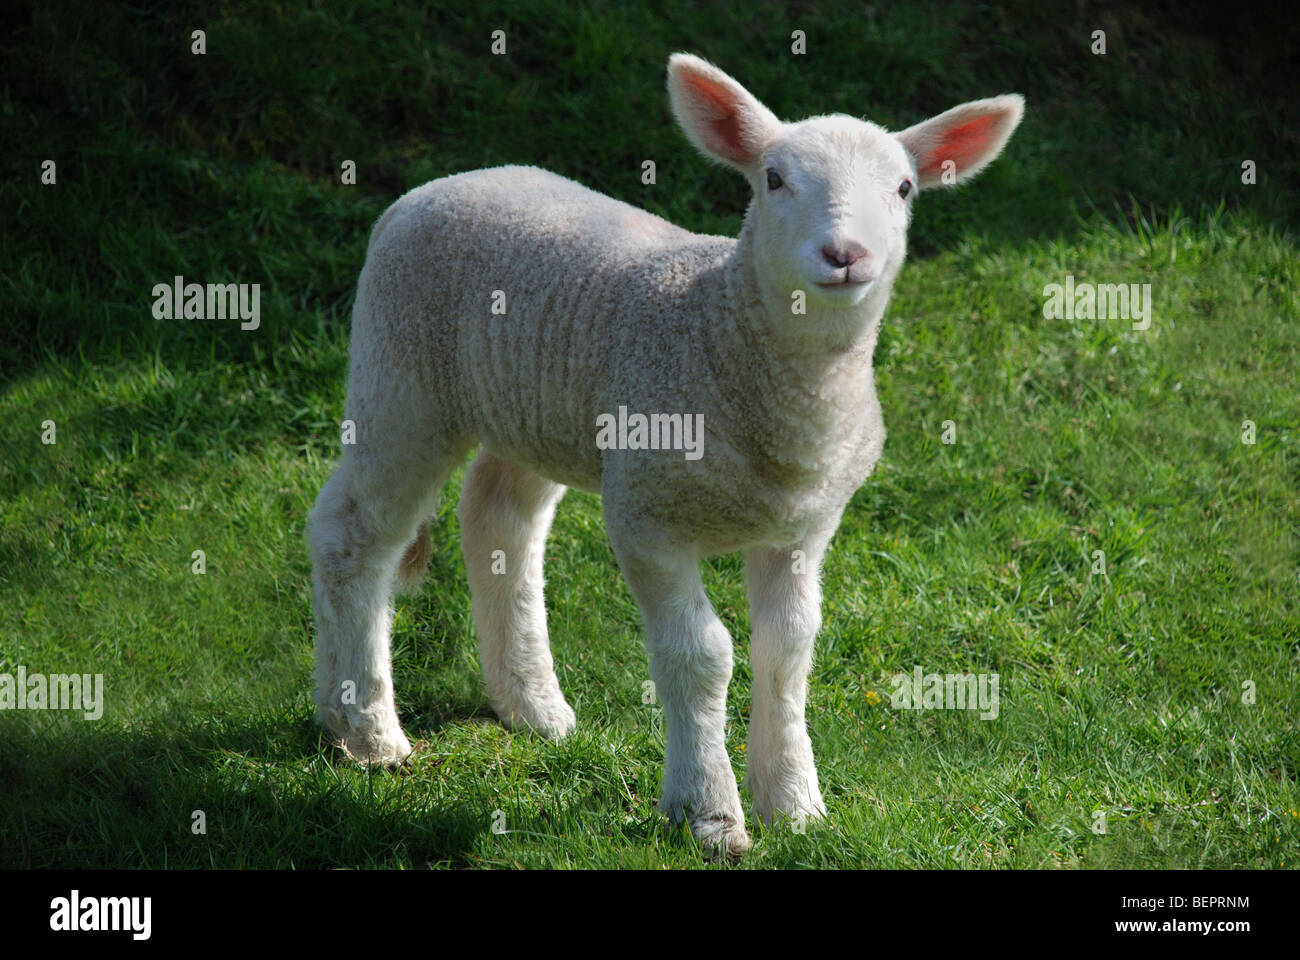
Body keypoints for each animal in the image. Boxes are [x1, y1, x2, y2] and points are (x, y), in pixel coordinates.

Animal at [306, 53, 1024, 860]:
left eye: (903, 188)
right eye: (773, 178)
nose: (846, 255)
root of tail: (449, 181)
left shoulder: (804, 528)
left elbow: (789, 650)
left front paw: (795, 803)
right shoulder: (648, 517)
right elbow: (703, 655)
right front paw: (710, 815)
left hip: (536, 406)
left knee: (498, 518)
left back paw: (530, 705)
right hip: (401, 375)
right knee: (352, 533)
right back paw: (364, 728)